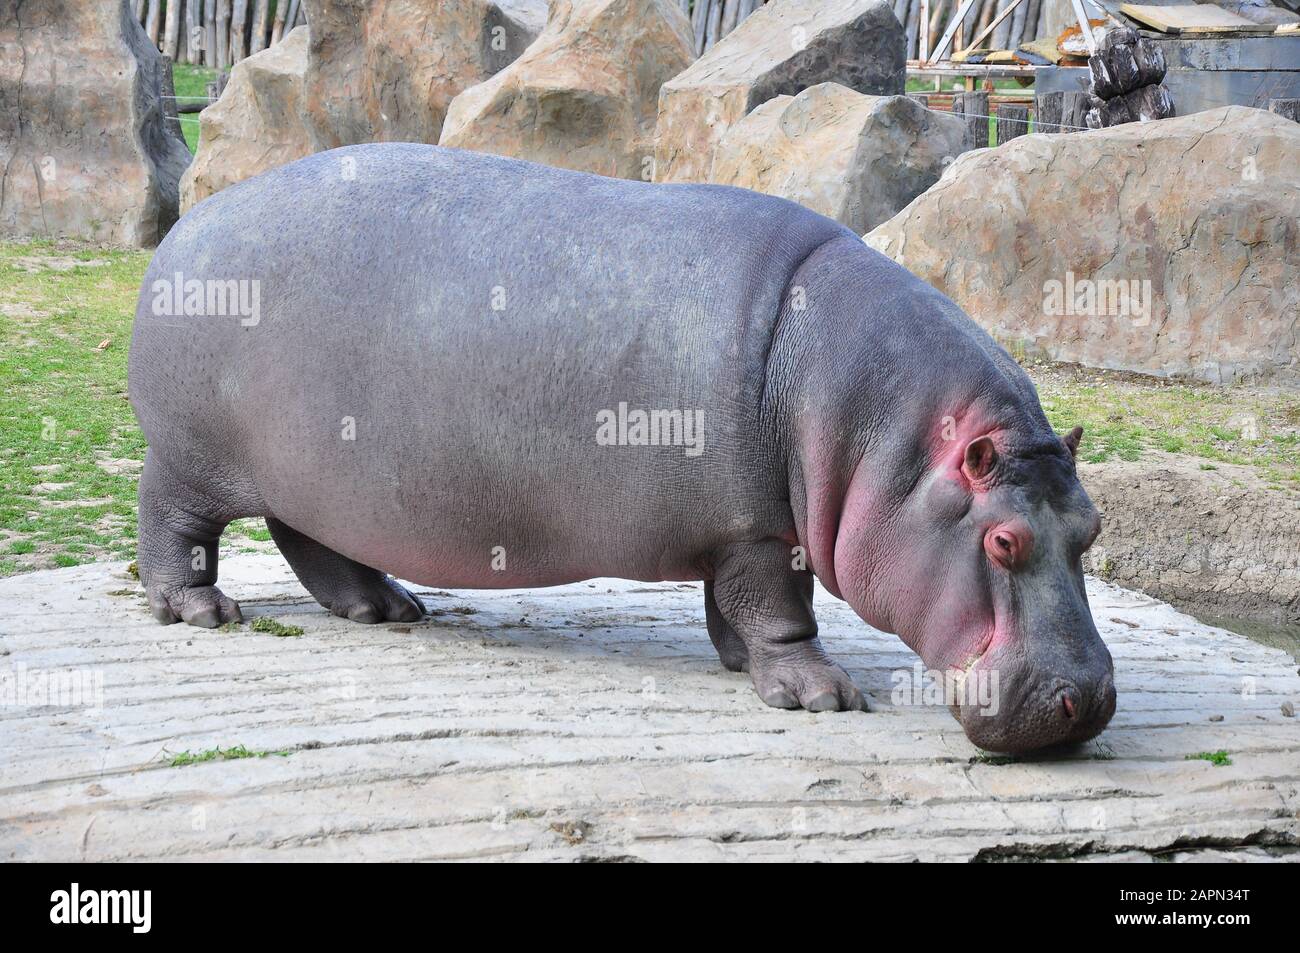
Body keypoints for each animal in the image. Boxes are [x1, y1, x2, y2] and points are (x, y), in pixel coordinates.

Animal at [129, 144, 1115, 753]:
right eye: (1002, 540)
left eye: (1093, 527)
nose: (1092, 701)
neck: (891, 437)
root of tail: (190, 224)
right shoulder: (757, 529)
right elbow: (780, 608)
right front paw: (822, 694)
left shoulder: (743, 528)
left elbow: (734, 605)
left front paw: (737, 661)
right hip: (188, 460)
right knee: (173, 526)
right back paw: (203, 611)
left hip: (318, 470)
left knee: (311, 538)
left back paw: (387, 608)